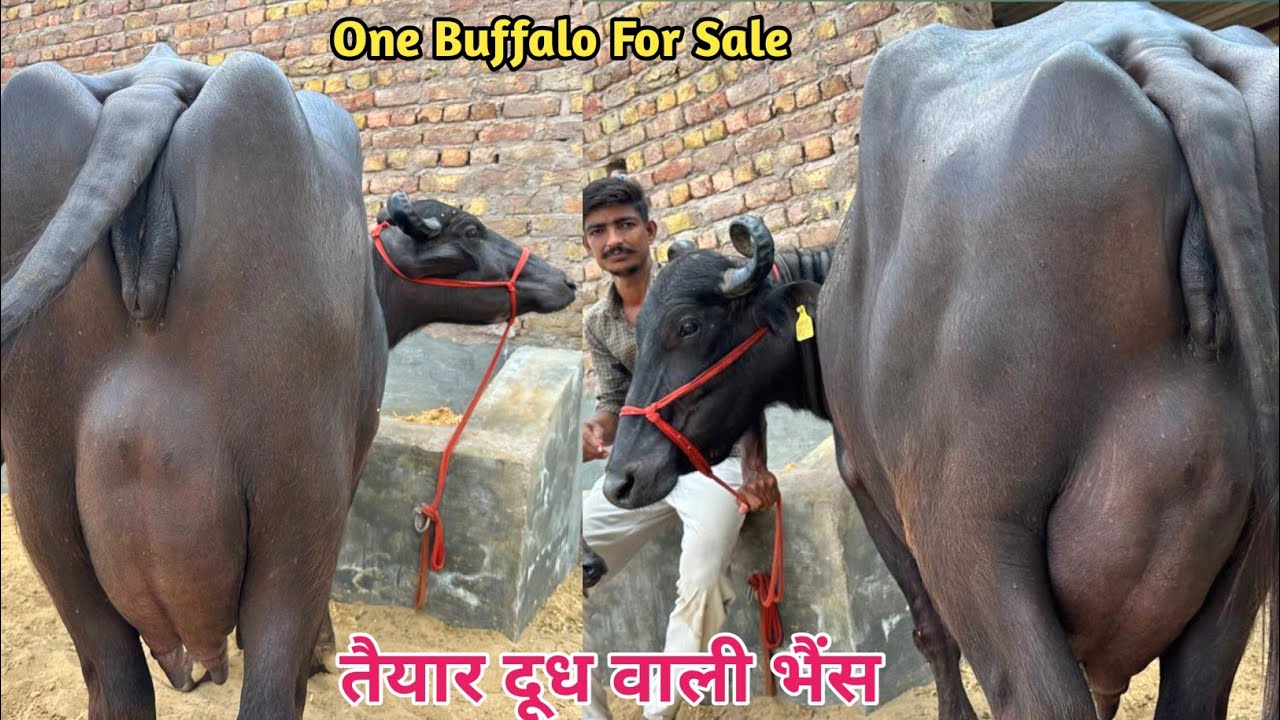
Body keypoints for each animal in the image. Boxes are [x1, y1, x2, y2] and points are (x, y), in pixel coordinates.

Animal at [1, 46, 574, 719]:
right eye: (471, 232)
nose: (563, 281)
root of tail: (157, 81)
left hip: (44, 508)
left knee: (112, 674)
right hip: (296, 500)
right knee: (274, 673)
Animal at [605, 4, 1276, 719]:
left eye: (687, 326)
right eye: (640, 327)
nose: (620, 477)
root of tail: (1163, 48)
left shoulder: (866, 485)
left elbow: (930, 631)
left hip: (971, 535)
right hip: (1248, 549)